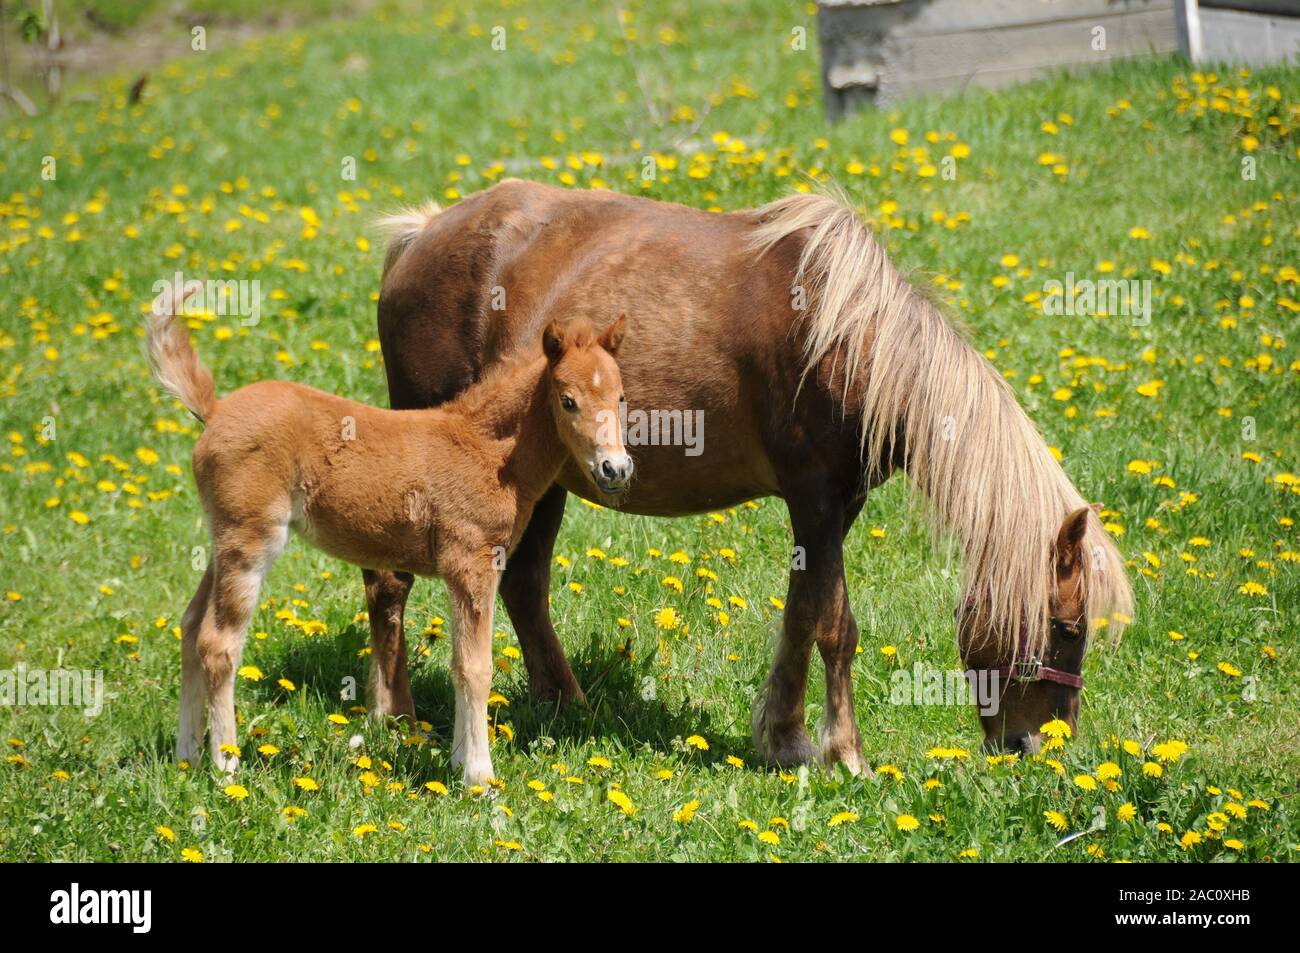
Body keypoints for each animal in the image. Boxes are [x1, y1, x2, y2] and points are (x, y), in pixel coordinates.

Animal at [147, 278, 631, 784]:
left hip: (222, 541)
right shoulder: (470, 563)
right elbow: (474, 667)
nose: (615, 469)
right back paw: (226, 767)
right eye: (568, 401)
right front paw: (478, 776)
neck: (488, 451)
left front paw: (457, 762)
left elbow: (460, 662)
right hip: (251, 540)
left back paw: (187, 756)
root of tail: (215, 410)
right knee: (218, 644)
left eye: (619, 397)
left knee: (190, 626)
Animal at [367, 179, 1134, 770]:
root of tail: (423, 234)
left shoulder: (834, 508)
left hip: (542, 480)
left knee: (524, 586)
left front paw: (785, 737)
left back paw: (567, 705)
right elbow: (835, 626)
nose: (1037, 745)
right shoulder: (815, 499)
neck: (850, 339)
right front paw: (845, 752)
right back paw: (396, 714)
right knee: (391, 581)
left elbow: (801, 614)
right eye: (1067, 628)